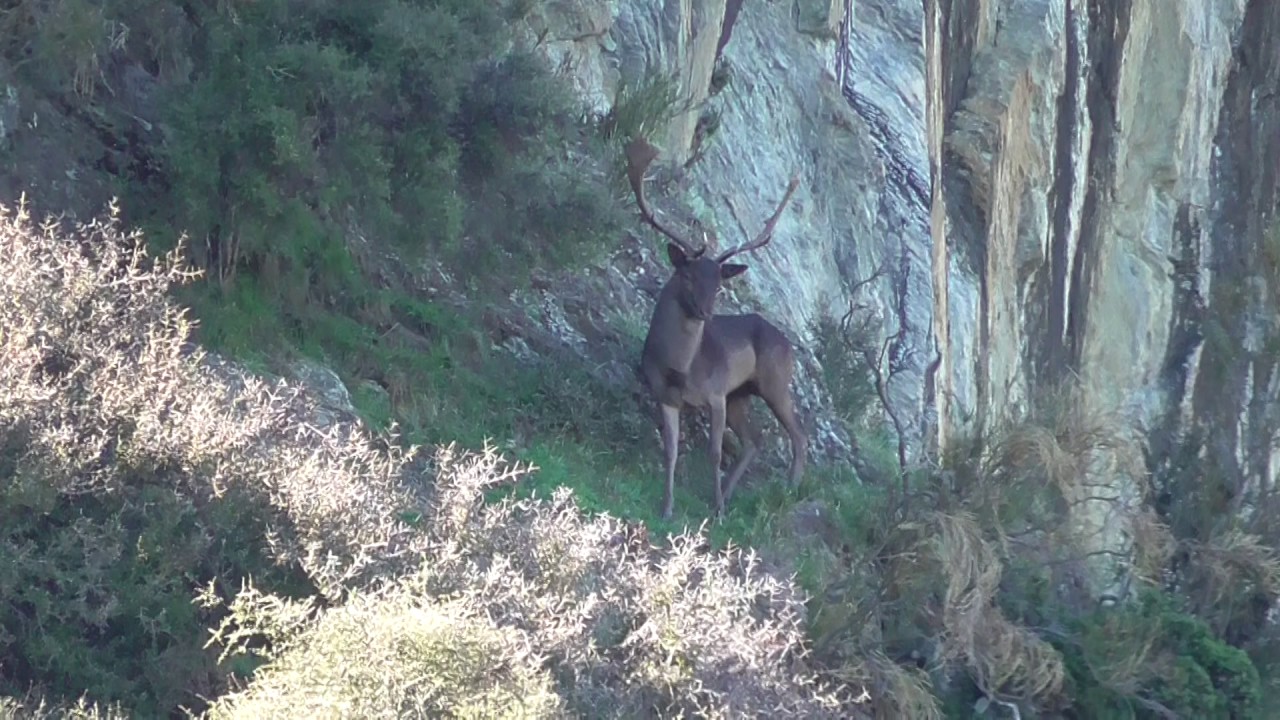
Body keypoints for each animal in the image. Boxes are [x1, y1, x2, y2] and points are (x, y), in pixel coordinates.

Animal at [626, 137, 807, 520]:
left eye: (719, 285)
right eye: (688, 275)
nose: (706, 312)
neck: (680, 369)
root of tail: (788, 343)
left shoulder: (716, 393)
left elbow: (713, 452)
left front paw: (719, 512)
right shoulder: (665, 395)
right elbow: (670, 451)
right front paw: (667, 508)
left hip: (773, 382)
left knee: (798, 435)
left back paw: (786, 490)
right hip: (742, 393)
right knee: (755, 440)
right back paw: (727, 494)